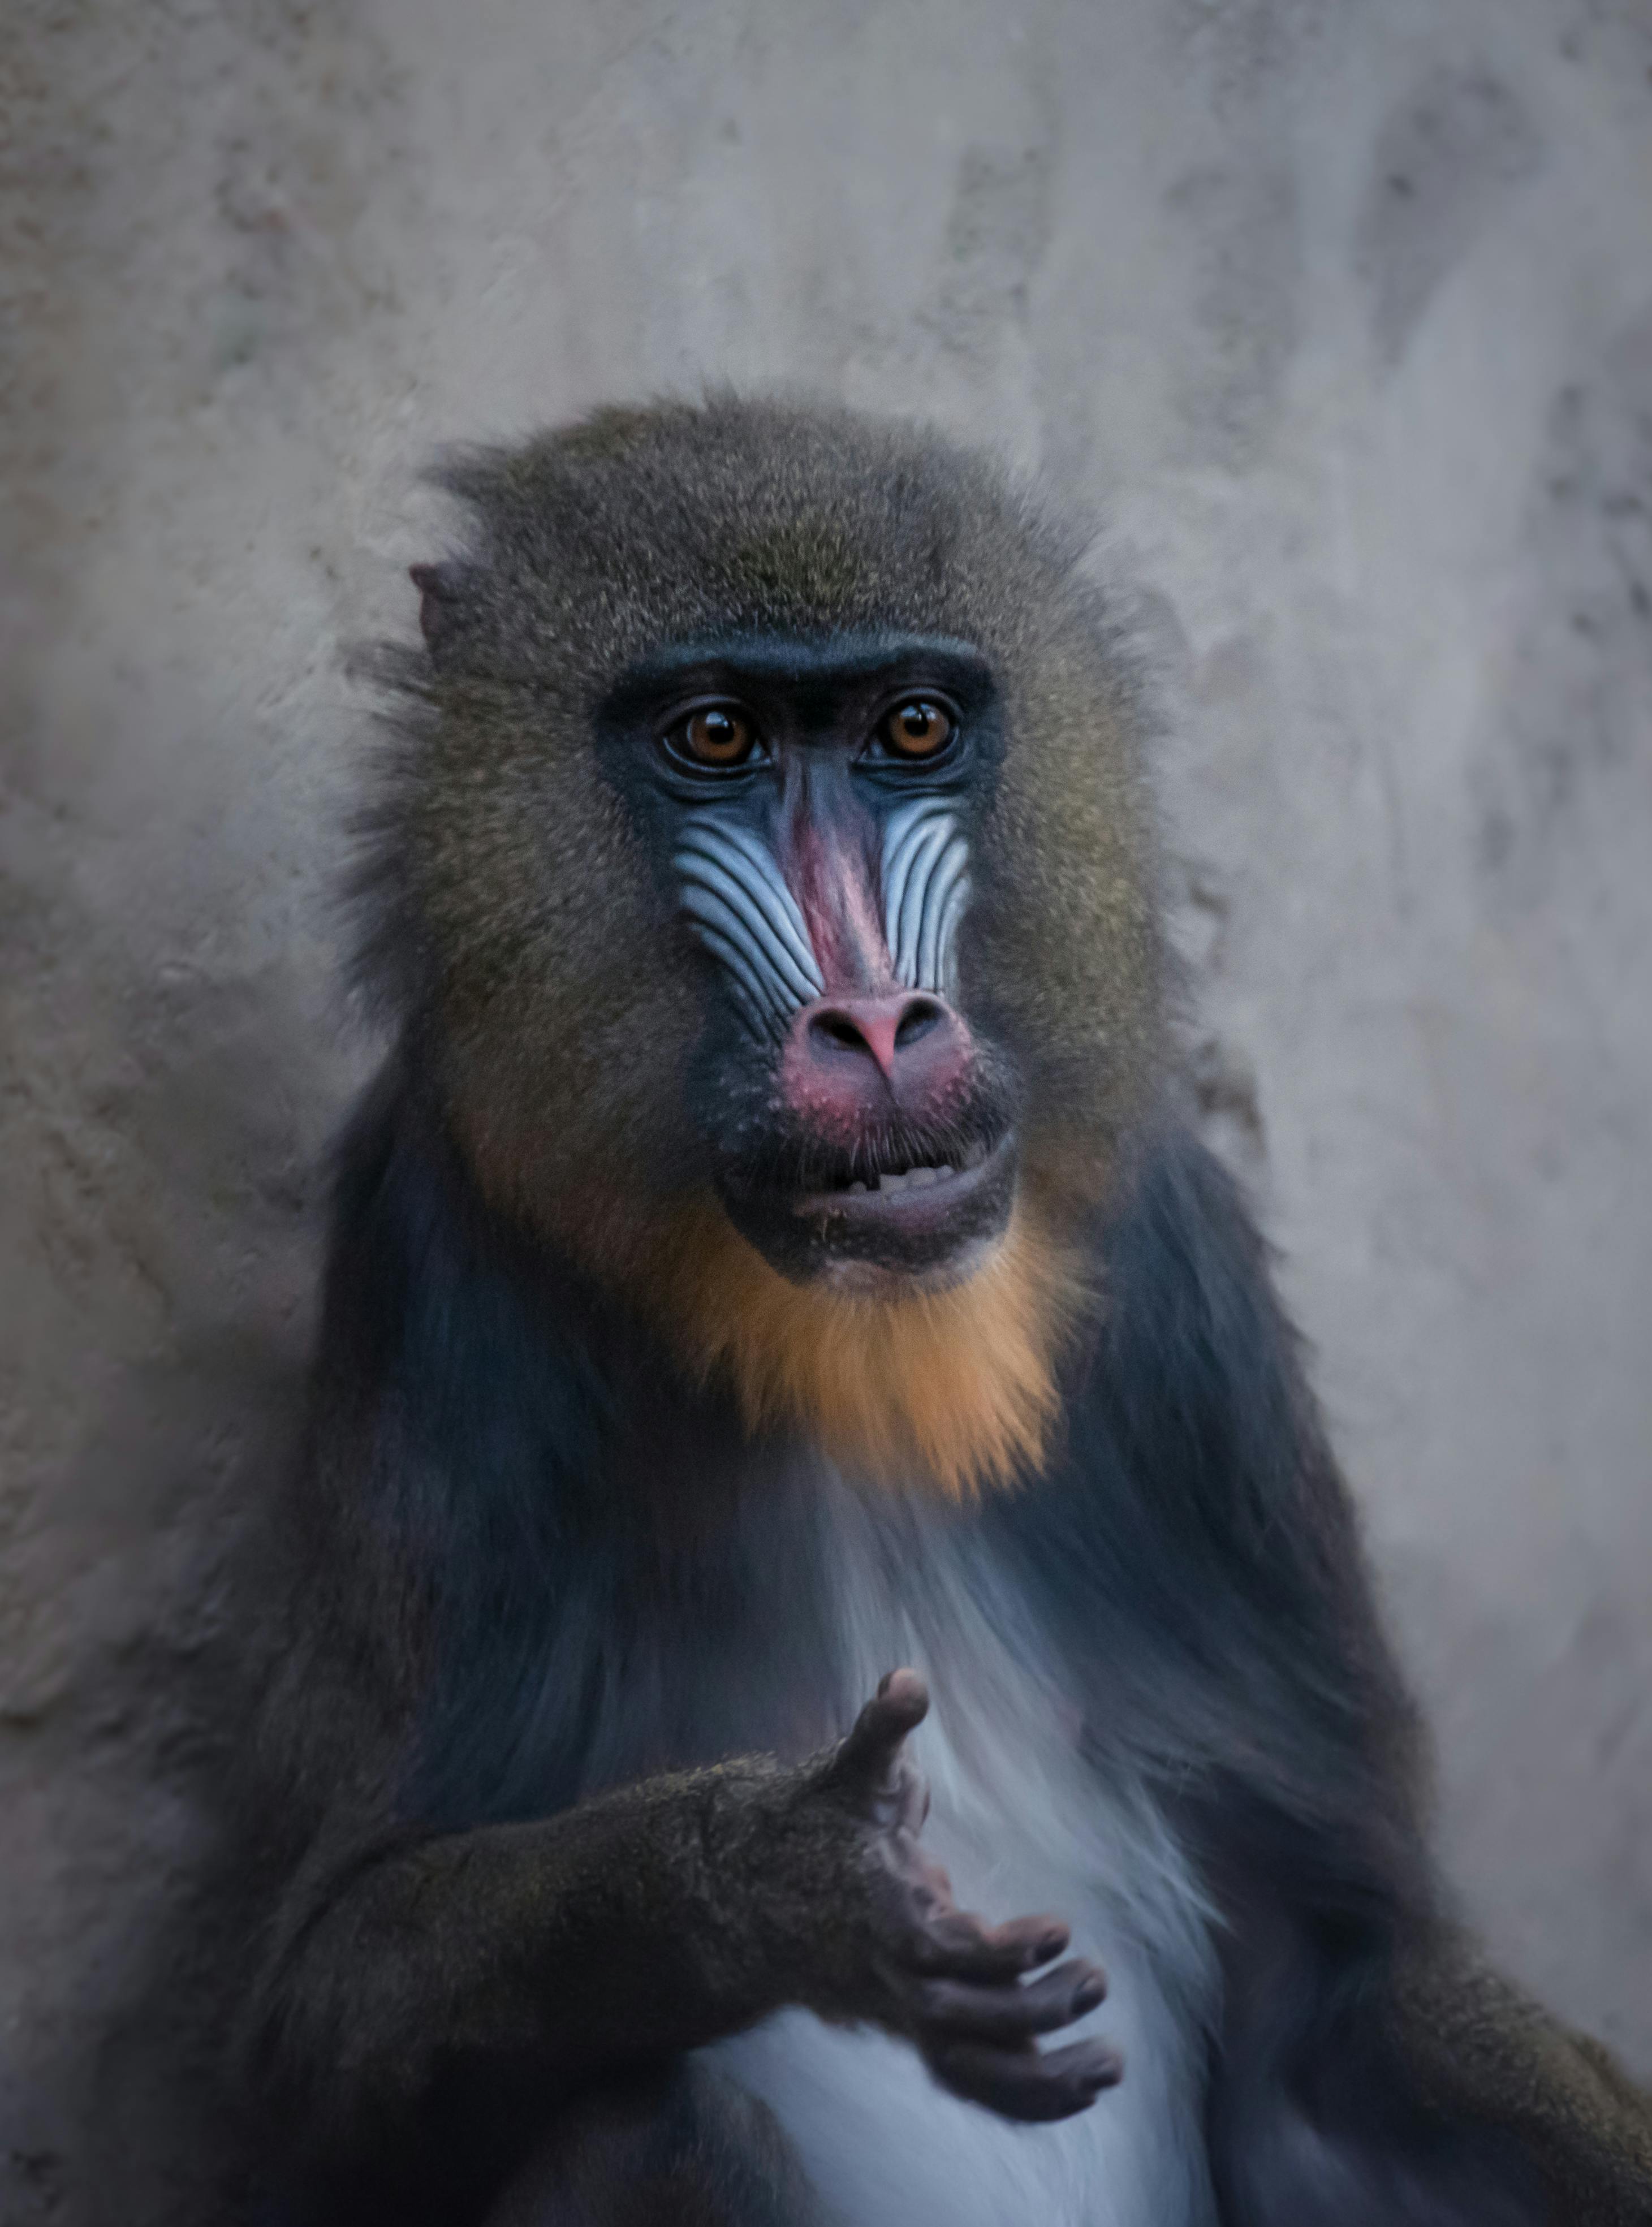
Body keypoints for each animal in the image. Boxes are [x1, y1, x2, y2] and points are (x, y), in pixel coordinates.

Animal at [232, 395, 1652, 2227]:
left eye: (911, 726)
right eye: (715, 737)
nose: (875, 1026)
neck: (866, 1358)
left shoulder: (1186, 1312)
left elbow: (1355, 1976)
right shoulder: (434, 1279)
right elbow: (326, 2009)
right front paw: (784, 1879)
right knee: (638, 2116)